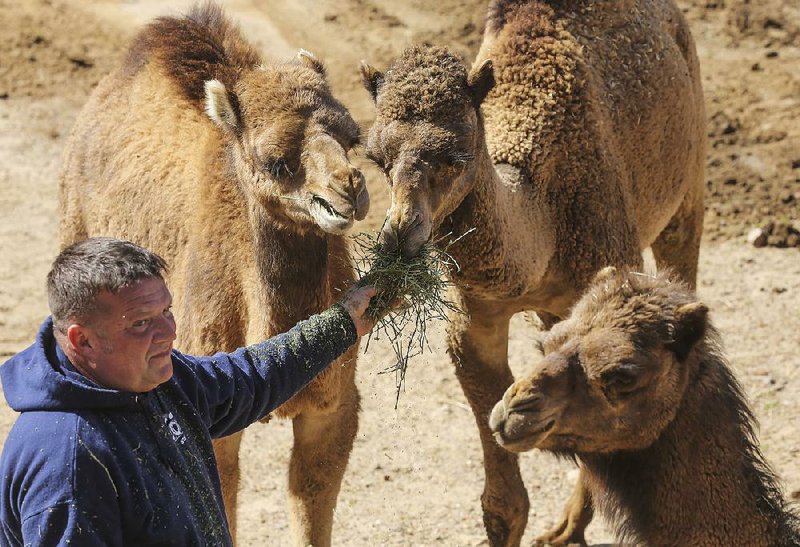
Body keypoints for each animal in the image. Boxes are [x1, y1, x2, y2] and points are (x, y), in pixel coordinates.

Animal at [360, 0, 705, 544]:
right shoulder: (476, 317)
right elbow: (502, 506)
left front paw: (570, 527)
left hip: (688, 180)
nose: (401, 235)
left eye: (453, 158)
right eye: (375, 158)